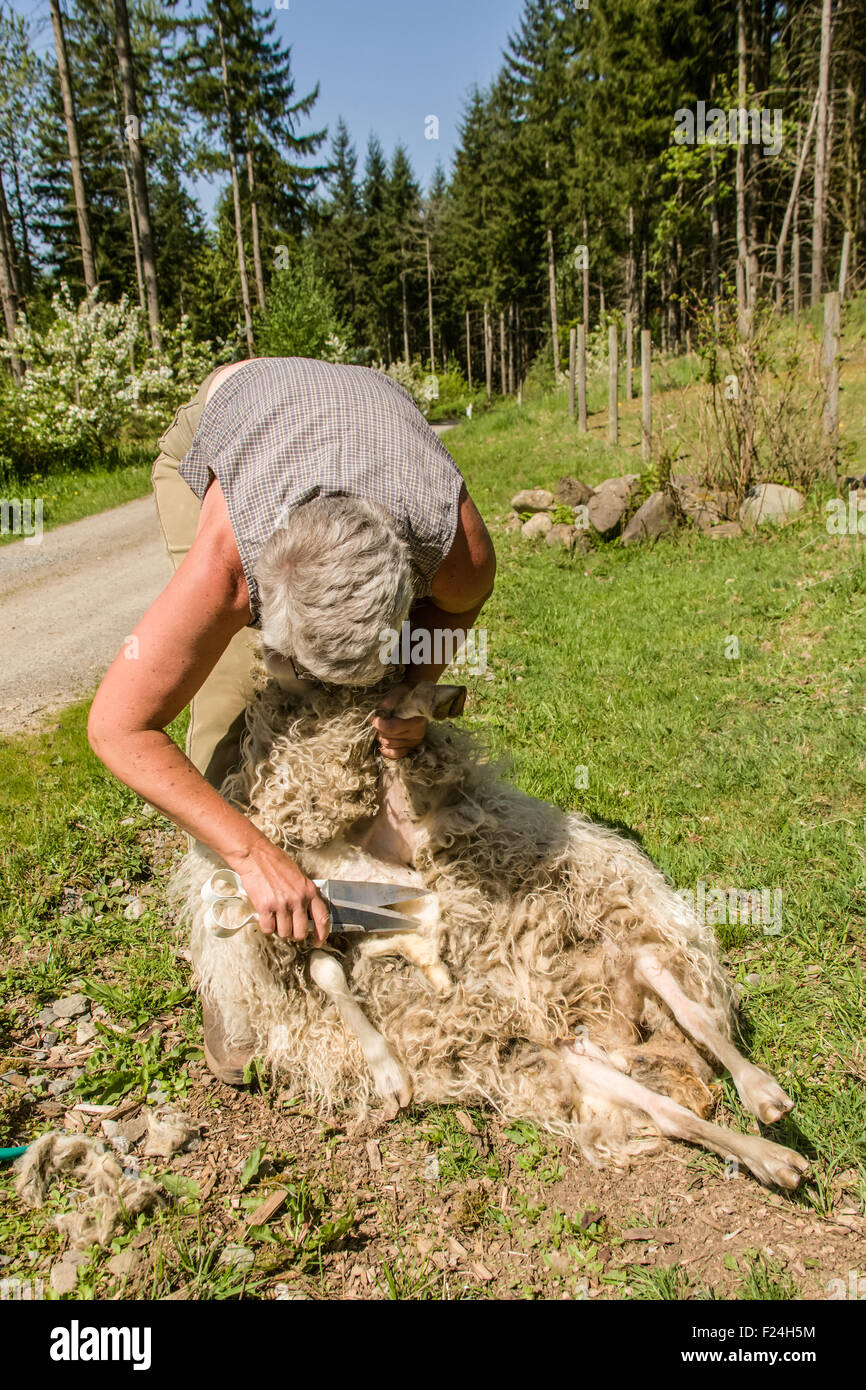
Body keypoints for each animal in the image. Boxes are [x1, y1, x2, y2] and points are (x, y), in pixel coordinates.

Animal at [171, 672, 808, 1190]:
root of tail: (620, 1037)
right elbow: (337, 965)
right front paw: (392, 1065)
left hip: (626, 951)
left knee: (696, 1017)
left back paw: (766, 1097)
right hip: (575, 1053)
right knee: (671, 1110)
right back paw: (772, 1156)